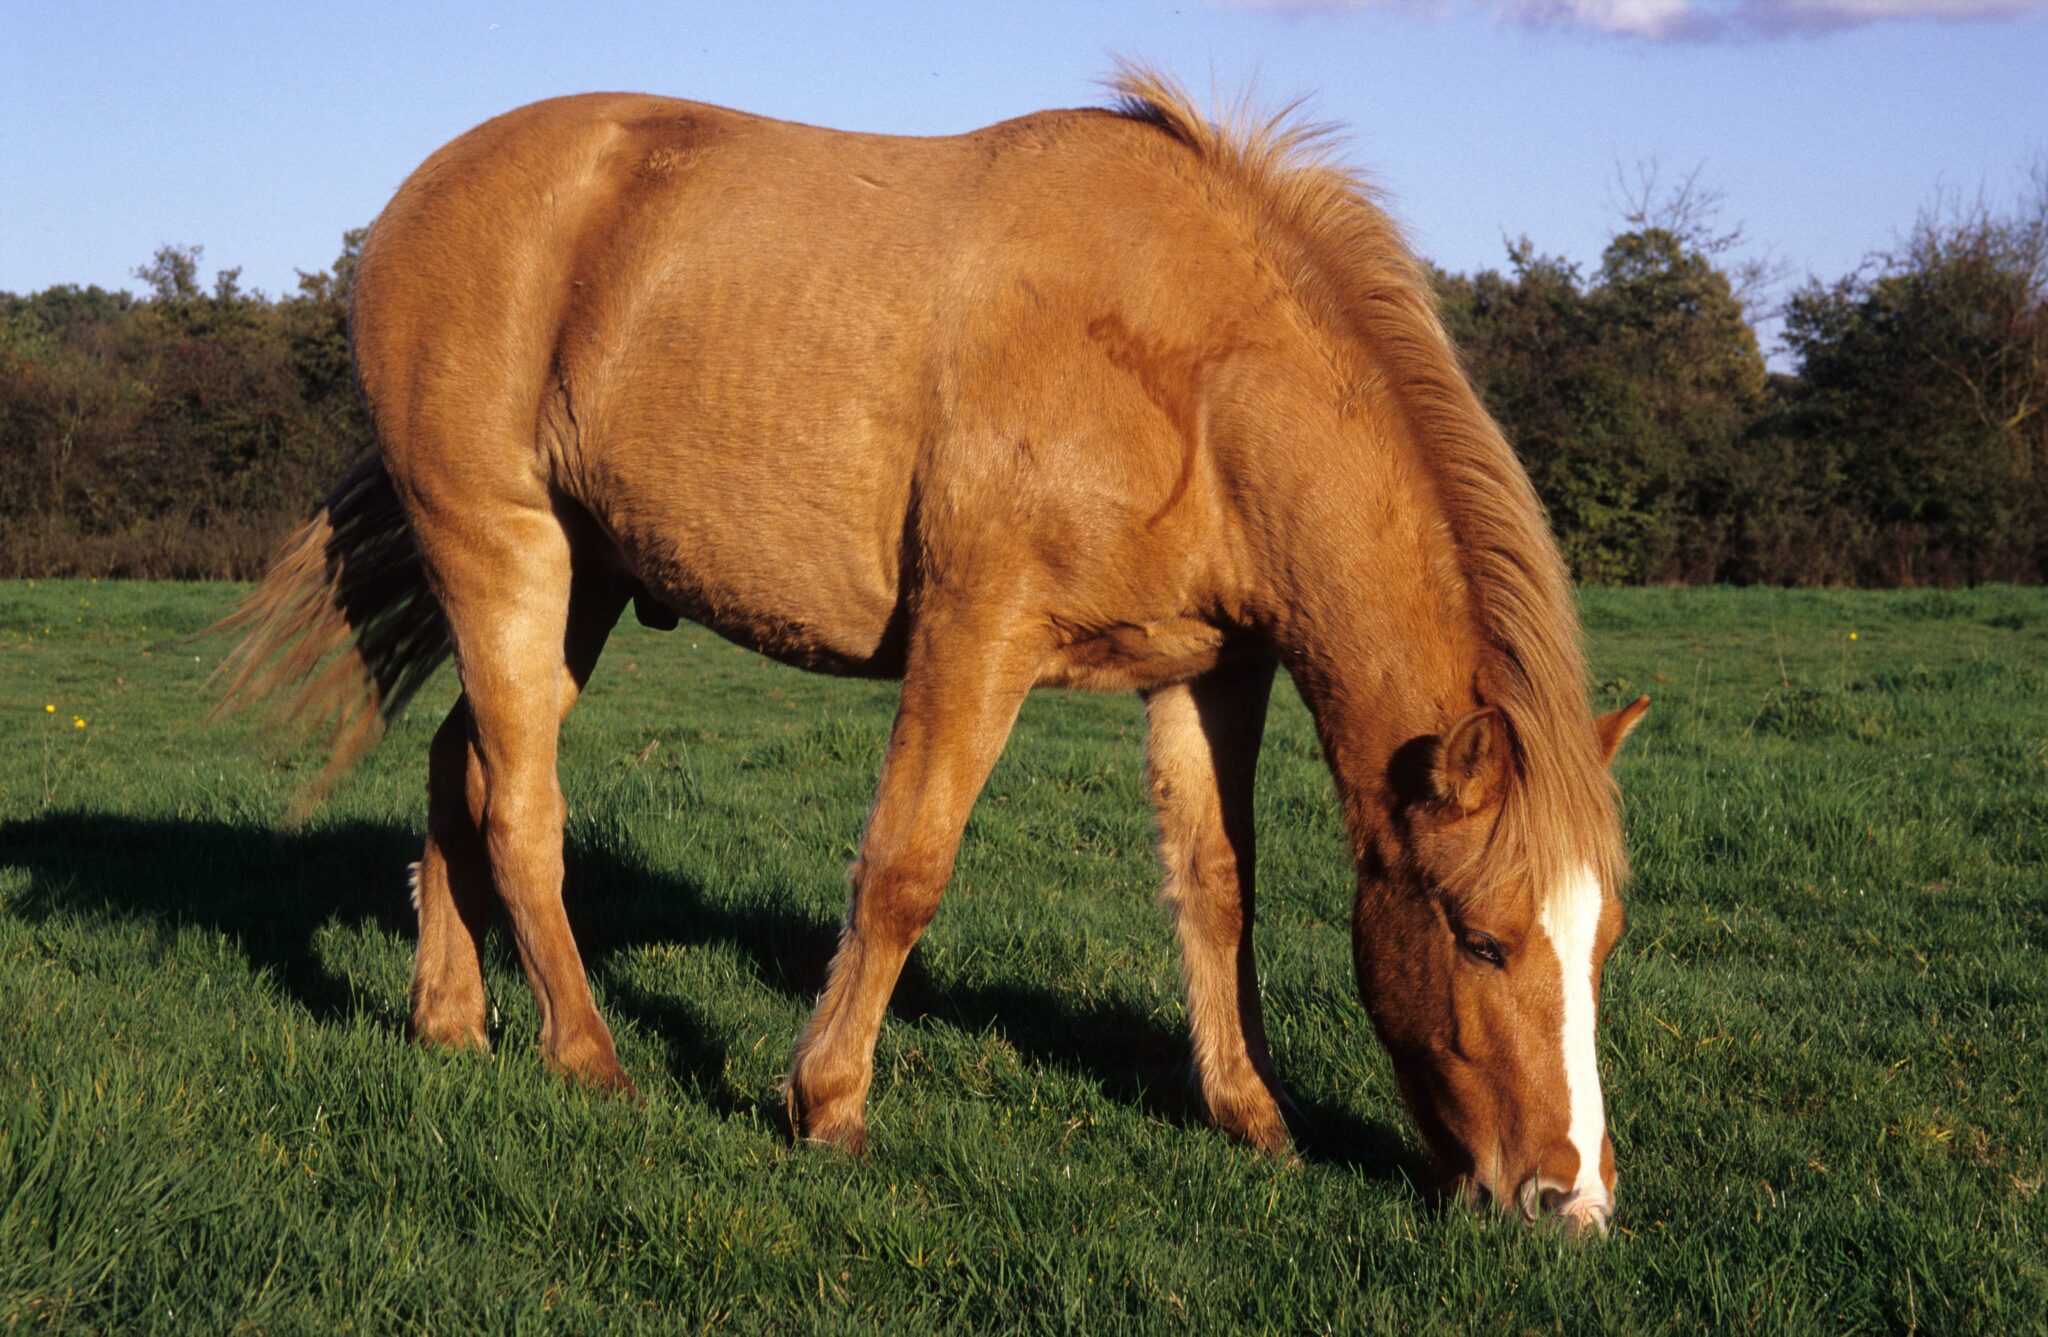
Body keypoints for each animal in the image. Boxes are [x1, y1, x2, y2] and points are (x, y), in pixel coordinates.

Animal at [217, 67, 1650, 1233]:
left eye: (1601, 942)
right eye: (1480, 939)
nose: (1569, 1201)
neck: (1189, 365)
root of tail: (423, 195)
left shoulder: (1209, 669)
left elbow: (1216, 886)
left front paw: (1252, 1116)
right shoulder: (978, 632)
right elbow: (906, 867)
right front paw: (825, 1101)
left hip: (583, 581)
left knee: (460, 769)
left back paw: (450, 1021)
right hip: (501, 552)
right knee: (521, 807)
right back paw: (588, 1058)